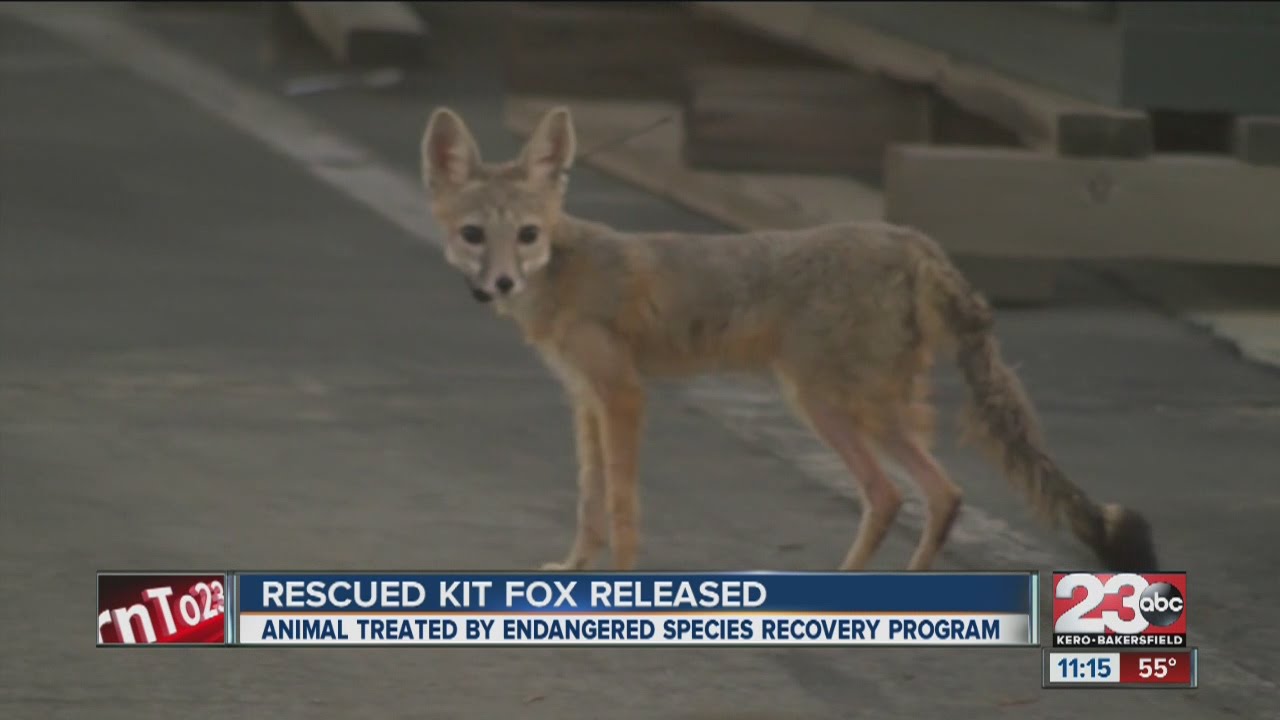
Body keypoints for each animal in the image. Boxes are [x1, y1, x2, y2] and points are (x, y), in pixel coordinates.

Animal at [418, 104, 1159, 574]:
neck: (566, 267)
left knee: (921, 492)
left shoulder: (622, 395)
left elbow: (622, 502)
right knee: (915, 495)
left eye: (527, 235)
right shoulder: (584, 400)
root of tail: (912, 238)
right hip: (840, 407)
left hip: (833, 404)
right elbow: (589, 500)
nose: (500, 284)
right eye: (474, 236)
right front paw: (574, 568)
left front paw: (619, 580)